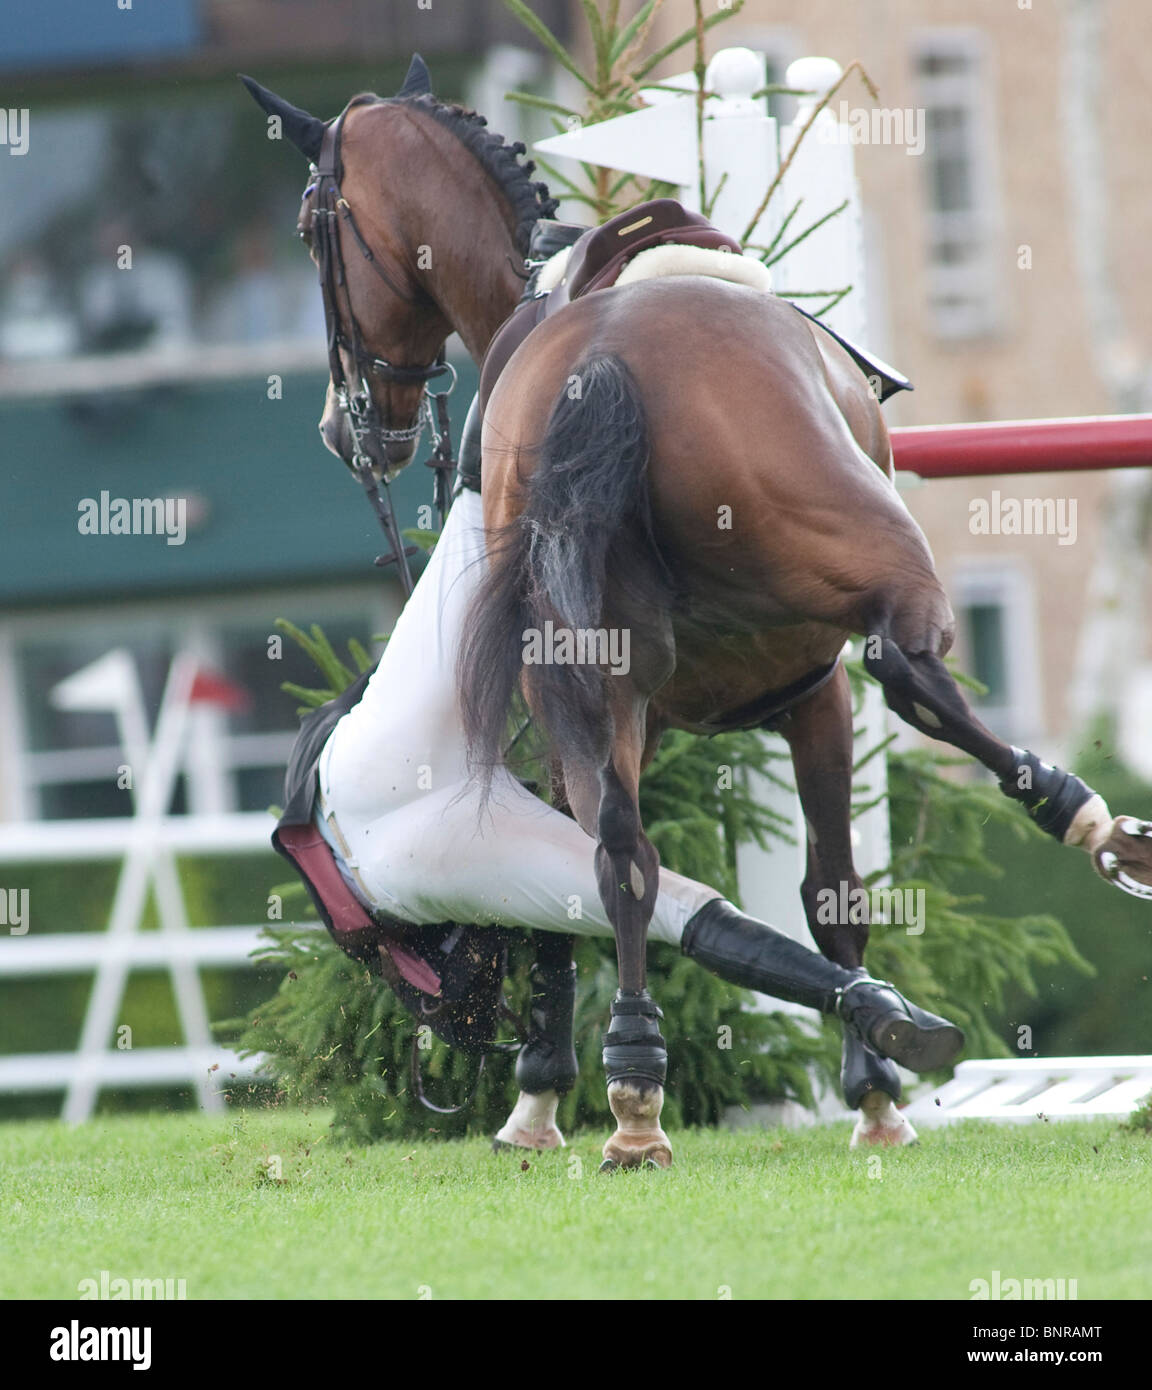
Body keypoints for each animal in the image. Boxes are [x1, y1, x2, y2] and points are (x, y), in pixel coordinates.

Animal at [243, 57, 1152, 1168]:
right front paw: (873, 1089)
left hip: (605, 681)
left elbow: (626, 893)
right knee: (903, 674)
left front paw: (547, 1093)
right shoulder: (811, 688)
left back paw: (636, 1095)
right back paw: (1095, 826)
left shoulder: (637, 706)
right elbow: (829, 892)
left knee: (625, 856)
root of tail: (605, 362)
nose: (347, 430)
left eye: (307, 227)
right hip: (844, 592)